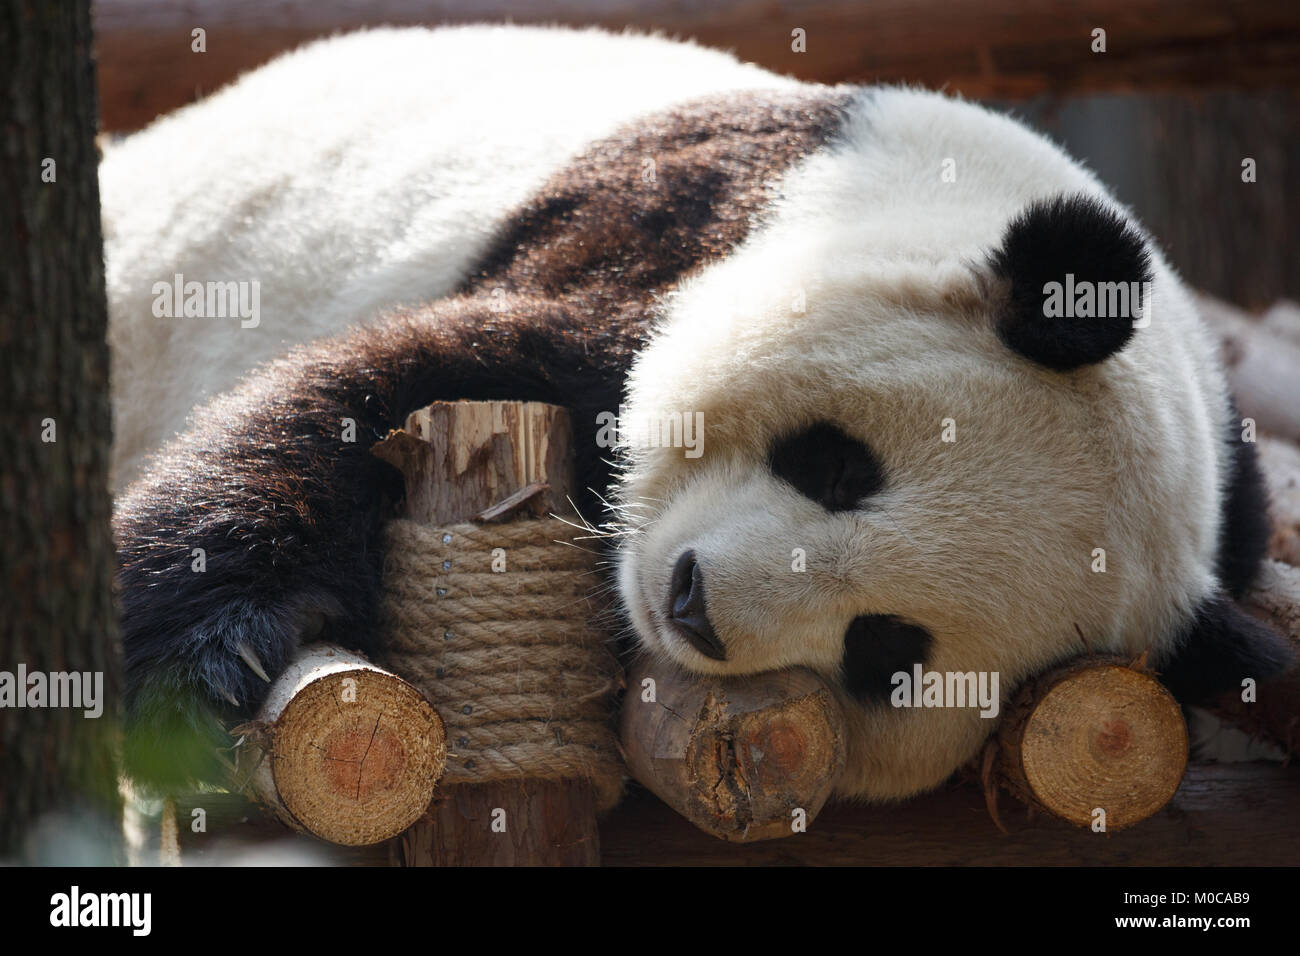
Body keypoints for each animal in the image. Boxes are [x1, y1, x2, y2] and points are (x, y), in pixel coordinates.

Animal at [105, 25, 1292, 797]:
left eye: (887, 652)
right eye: (835, 465)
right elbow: (382, 390)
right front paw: (203, 659)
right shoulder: (687, 225)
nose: (692, 603)